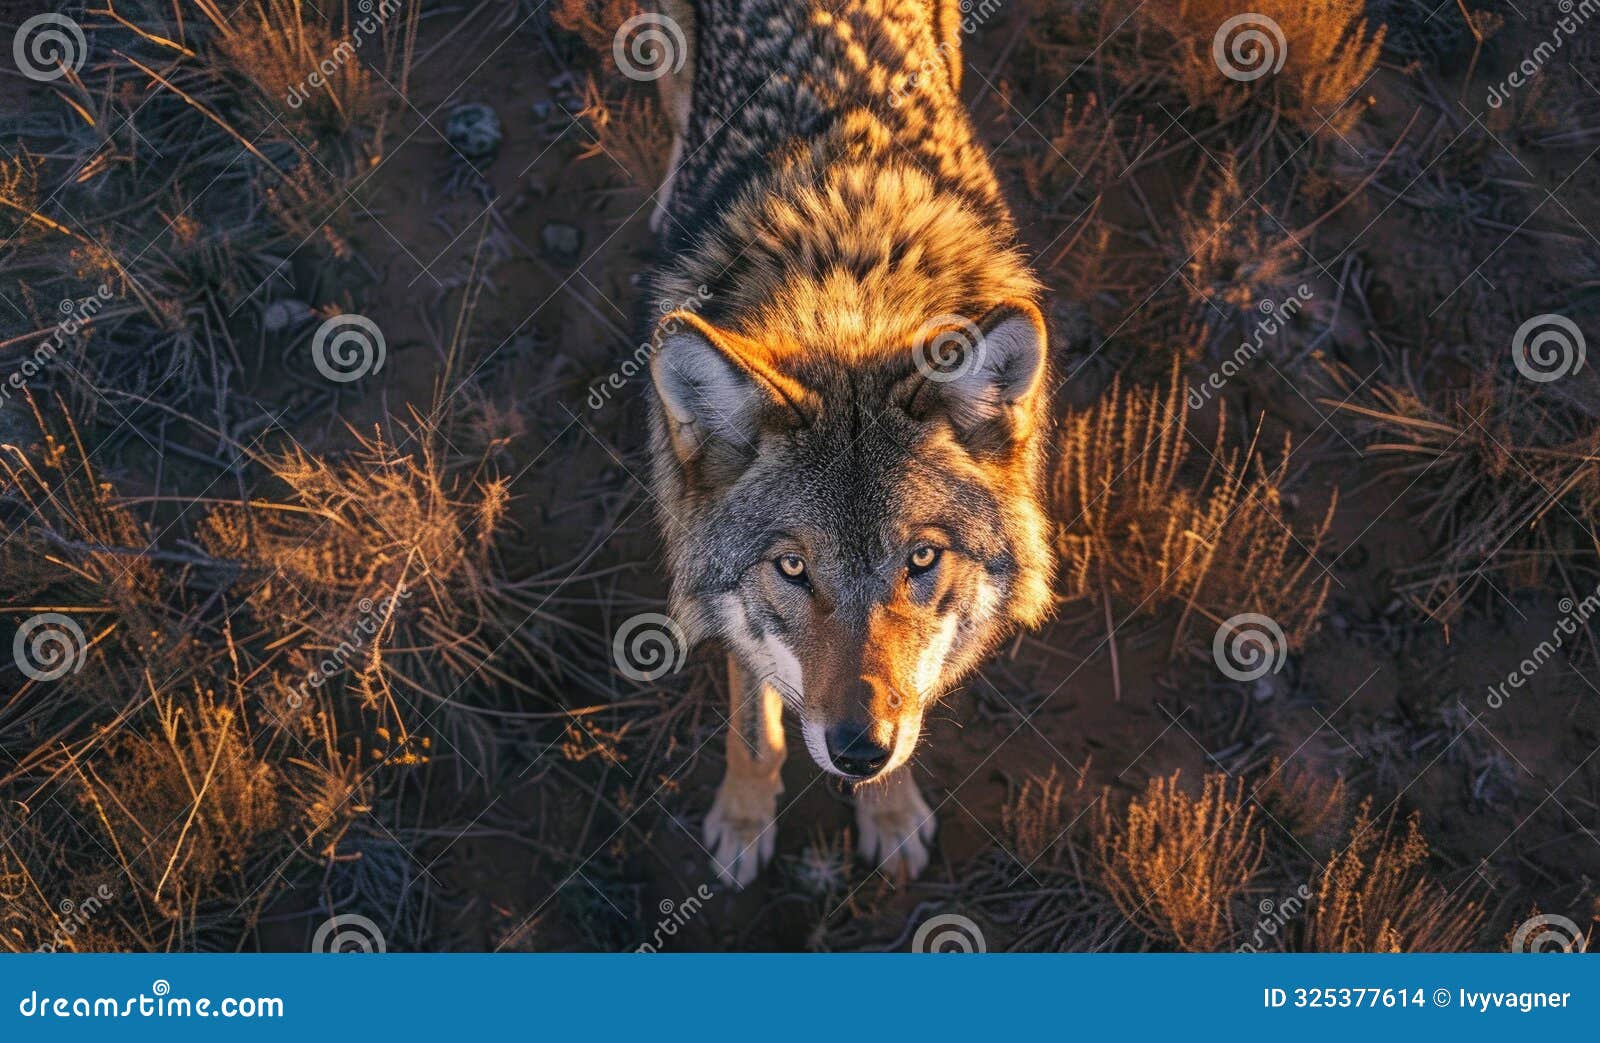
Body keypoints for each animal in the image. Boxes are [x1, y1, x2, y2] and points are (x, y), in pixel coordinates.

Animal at [640, 0, 1056, 887]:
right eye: (793, 567)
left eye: (922, 558)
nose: (861, 747)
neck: (854, 295)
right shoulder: (739, 618)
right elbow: (754, 731)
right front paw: (743, 820)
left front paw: (889, 815)